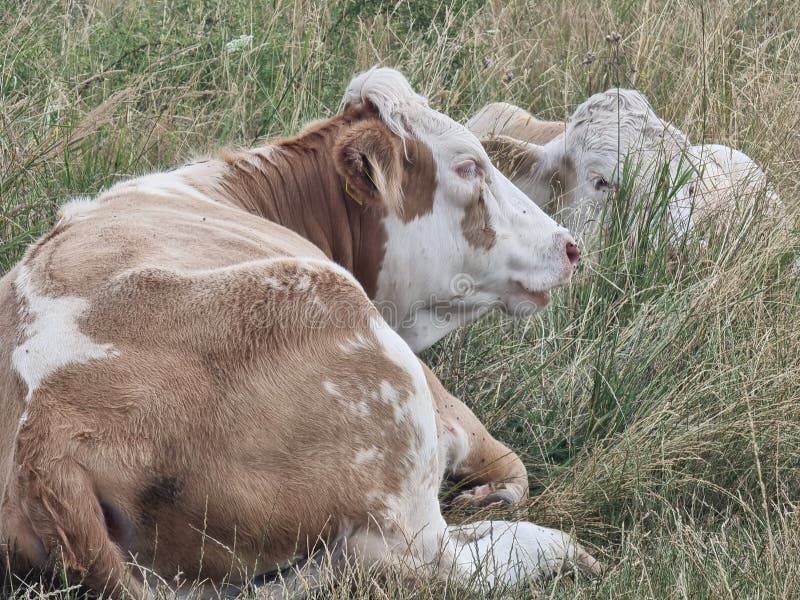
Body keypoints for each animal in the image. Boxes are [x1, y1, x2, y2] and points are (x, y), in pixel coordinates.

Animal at [0, 68, 597, 599]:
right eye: (470, 166)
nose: (568, 246)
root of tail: (49, 434)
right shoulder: (434, 392)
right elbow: (503, 458)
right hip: (375, 375)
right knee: (424, 562)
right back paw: (556, 548)